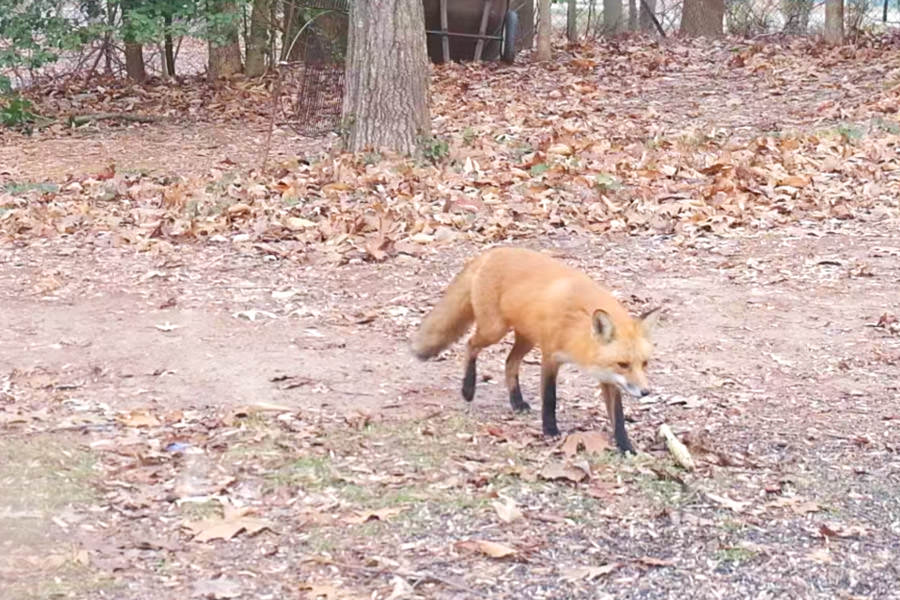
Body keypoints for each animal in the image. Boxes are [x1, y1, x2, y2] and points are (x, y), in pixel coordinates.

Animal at [410, 247, 660, 454]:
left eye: (644, 363)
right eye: (623, 364)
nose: (646, 392)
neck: (576, 327)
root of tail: (492, 251)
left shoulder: (607, 377)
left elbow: (618, 416)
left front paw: (626, 447)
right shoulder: (550, 356)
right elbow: (550, 398)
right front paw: (550, 430)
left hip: (526, 338)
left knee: (509, 363)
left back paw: (516, 402)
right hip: (494, 330)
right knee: (470, 344)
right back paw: (468, 388)